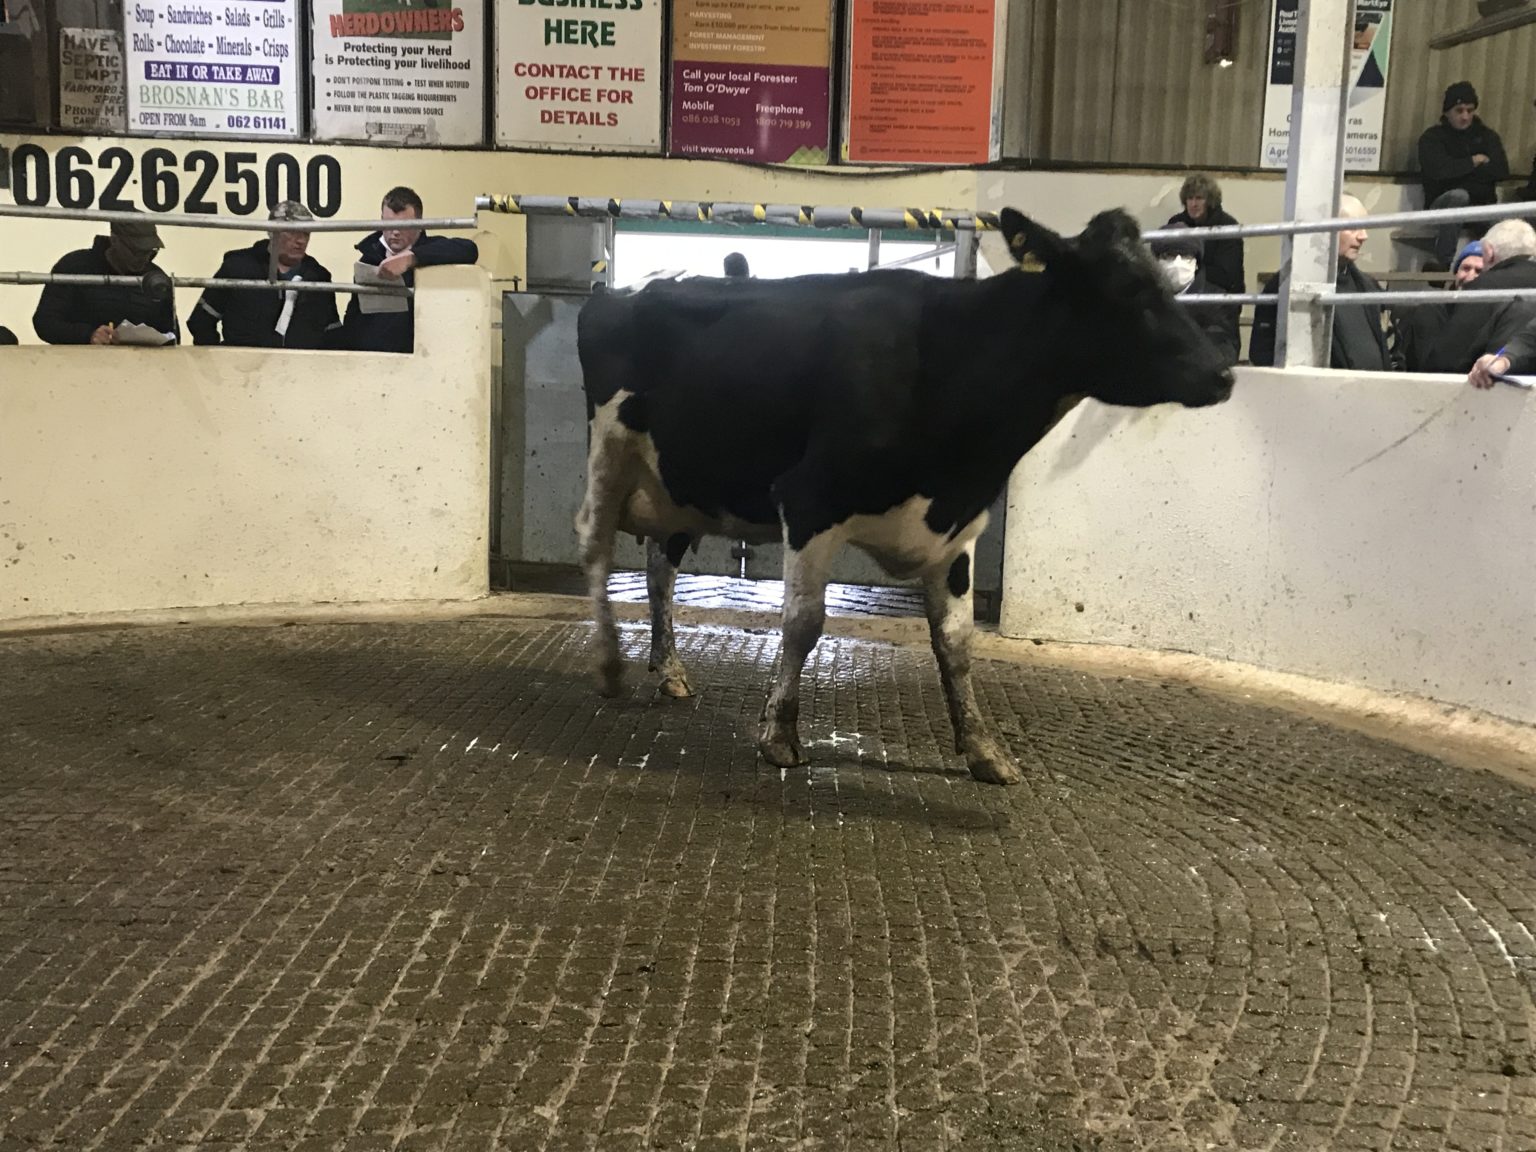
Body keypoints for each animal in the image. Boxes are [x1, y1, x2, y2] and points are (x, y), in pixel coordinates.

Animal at [574, 207, 1233, 785]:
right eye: (1126, 289)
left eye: (1169, 286)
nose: (1224, 373)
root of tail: (622, 286)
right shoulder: (810, 501)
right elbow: (803, 623)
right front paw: (780, 734)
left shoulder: (960, 530)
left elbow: (956, 644)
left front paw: (984, 749)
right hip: (610, 451)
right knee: (595, 546)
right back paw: (608, 663)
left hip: (681, 481)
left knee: (660, 568)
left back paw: (670, 669)